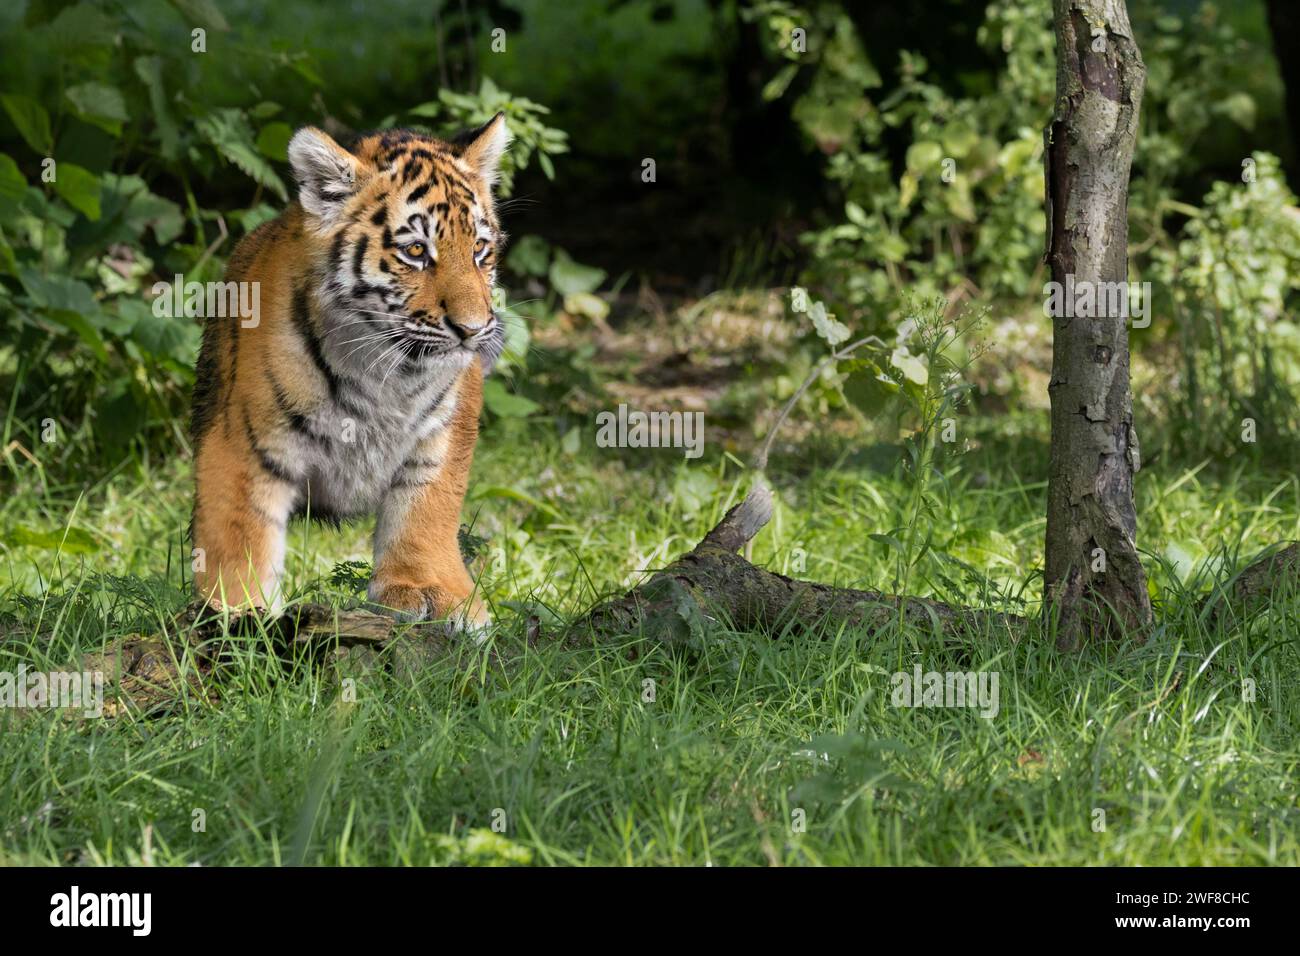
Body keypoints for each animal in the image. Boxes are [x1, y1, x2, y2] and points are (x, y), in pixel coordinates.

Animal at [189, 113, 512, 631]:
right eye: (416, 251)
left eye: (480, 248)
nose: (473, 329)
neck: (388, 369)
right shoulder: (242, 443)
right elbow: (237, 534)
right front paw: (237, 613)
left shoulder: (445, 430)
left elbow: (428, 508)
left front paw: (432, 592)